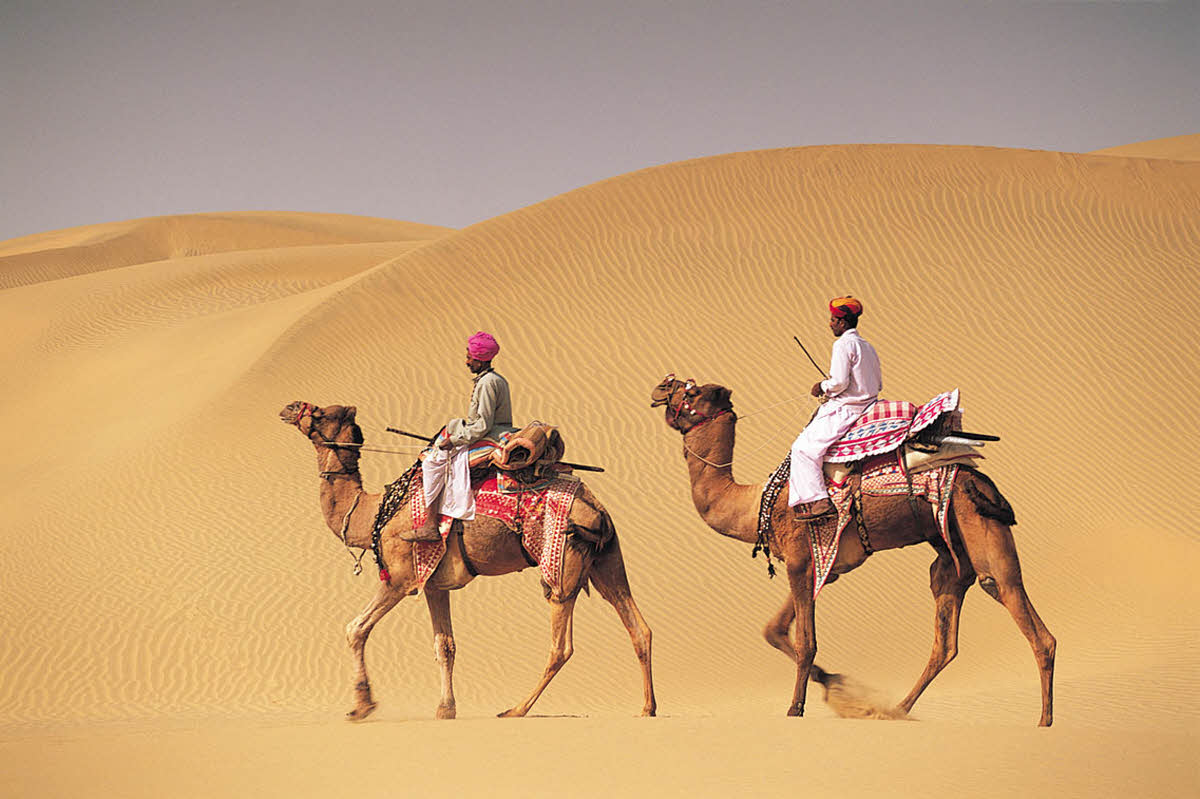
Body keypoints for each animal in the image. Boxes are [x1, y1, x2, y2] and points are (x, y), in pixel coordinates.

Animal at [280, 401, 655, 721]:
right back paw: (647, 708)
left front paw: (361, 706)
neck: (370, 513)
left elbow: (356, 628)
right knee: (639, 627)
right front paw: (446, 709)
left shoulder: (401, 577)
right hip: (607, 561)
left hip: (561, 562)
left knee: (561, 646)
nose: (289, 407)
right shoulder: (433, 582)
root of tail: (599, 513)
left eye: (322, 413)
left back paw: (515, 710)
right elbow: (445, 645)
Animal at [650, 377, 1055, 726]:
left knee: (1021, 612)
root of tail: (981, 479)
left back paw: (1044, 720)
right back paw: (895, 710)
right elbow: (775, 630)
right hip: (950, 555)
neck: (753, 505)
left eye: (691, 391)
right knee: (946, 639)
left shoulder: (800, 560)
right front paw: (836, 685)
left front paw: (796, 707)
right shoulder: (818, 567)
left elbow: (806, 642)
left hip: (978, 528)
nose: (661, 386)